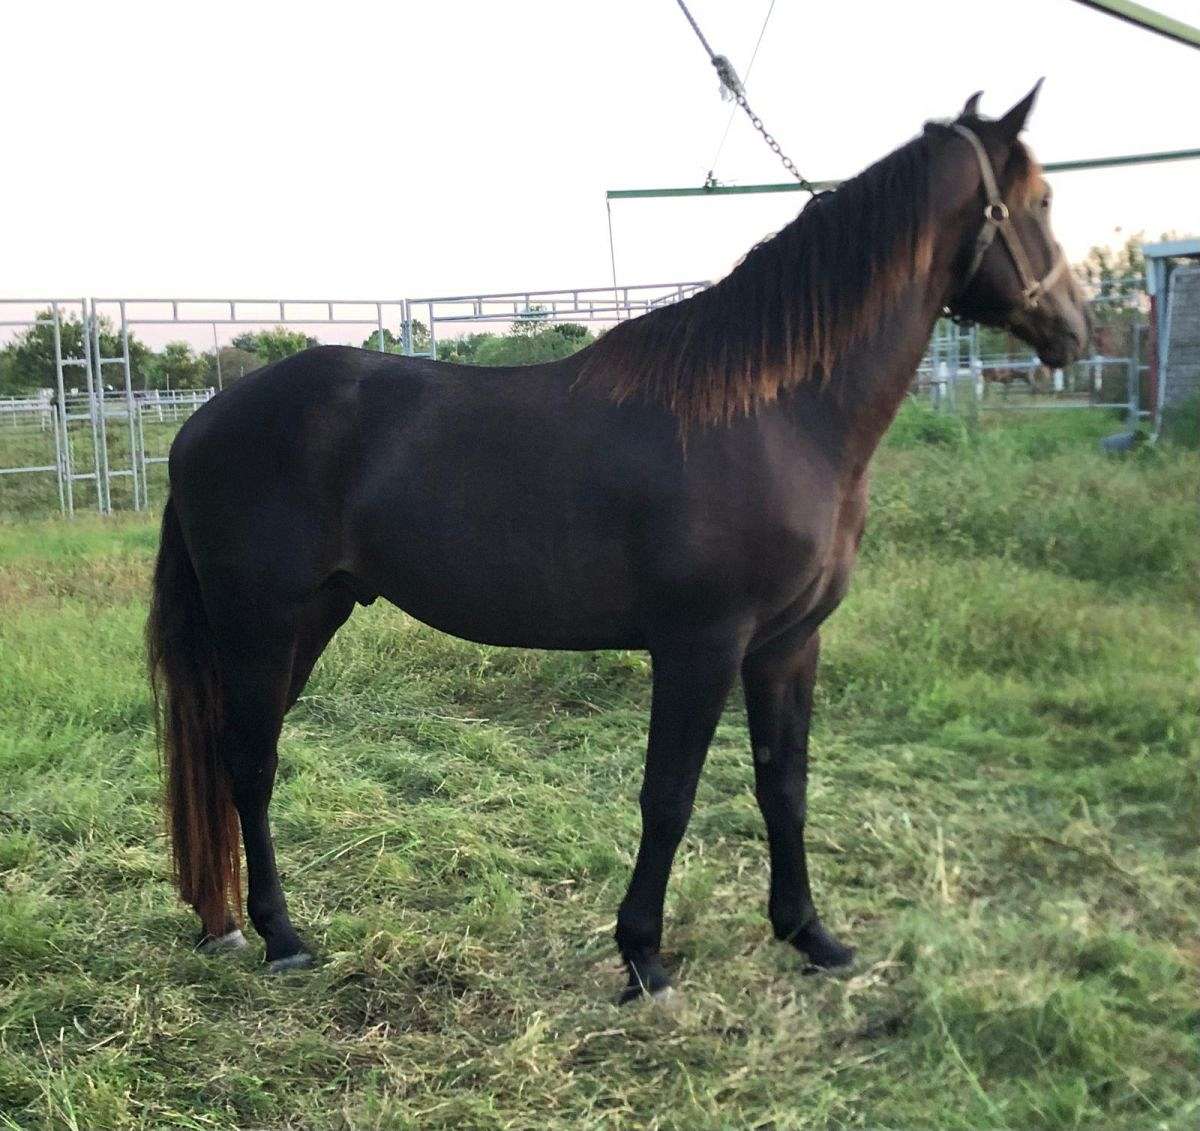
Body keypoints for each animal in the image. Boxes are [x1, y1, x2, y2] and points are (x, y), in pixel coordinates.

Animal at [148, 84, 1087, 1002]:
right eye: (1040, 201)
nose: (1076, 330)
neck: (778, 416)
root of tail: (199, 424)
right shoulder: (702, 642)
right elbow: (668, 797)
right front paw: (643, 957)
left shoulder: (788, 643)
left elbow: (784, 786)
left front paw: (809, 935)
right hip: (264, 621)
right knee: (250, 760)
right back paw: (280, 936)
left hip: (315, 615)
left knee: (244, 755)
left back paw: (229, 922)